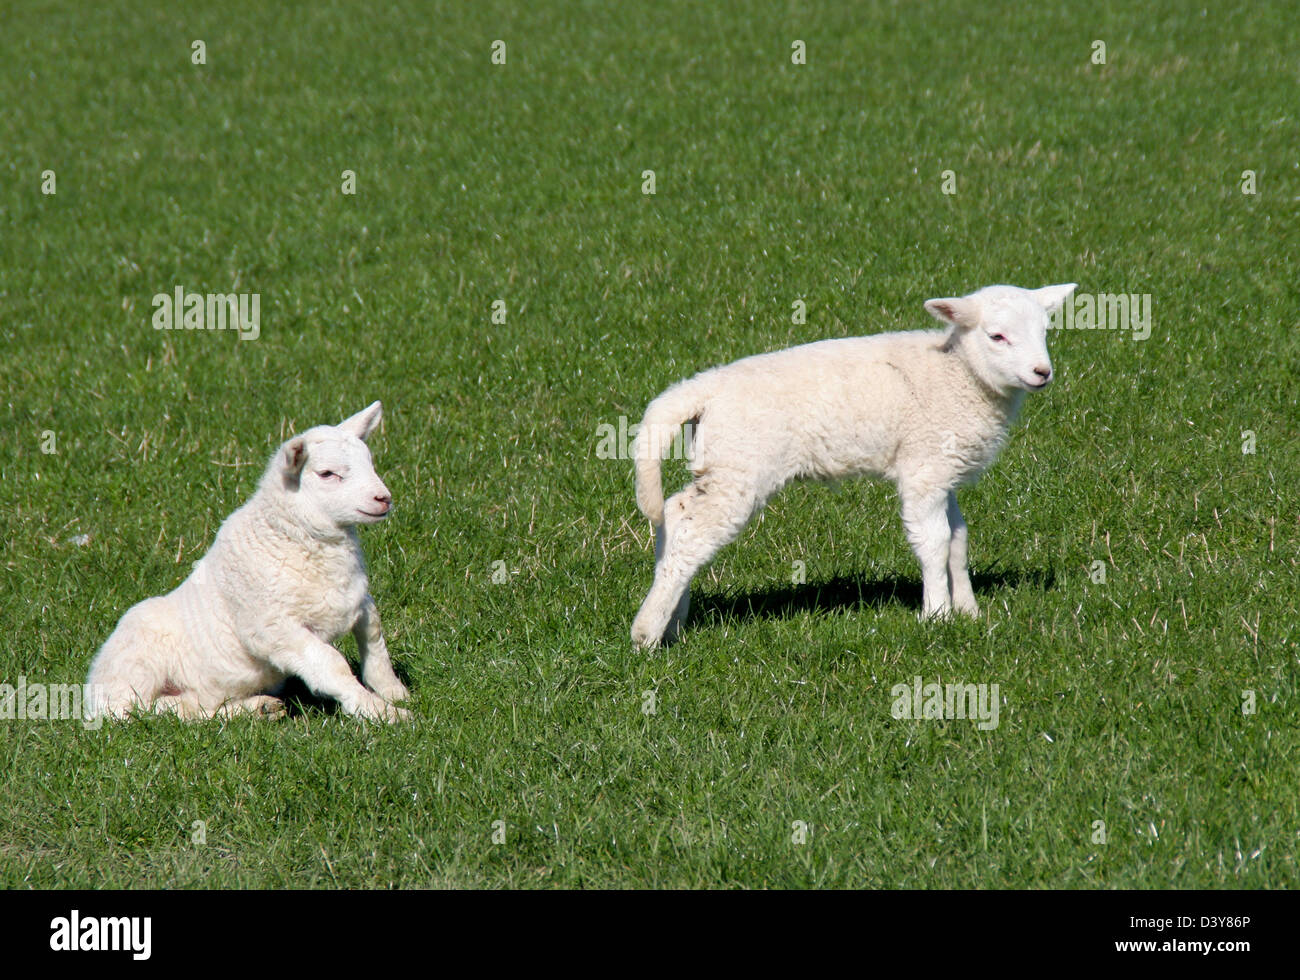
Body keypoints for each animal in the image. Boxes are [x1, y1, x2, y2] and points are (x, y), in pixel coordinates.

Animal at [86, 401, 411, 723]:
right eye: (327, 474)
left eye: (370, 463)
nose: (384, 498)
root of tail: (91, 694)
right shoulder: (271, 626)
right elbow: (331, 663)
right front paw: (380, 710)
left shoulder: (356, 599)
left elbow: (375, 637)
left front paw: (393, 691)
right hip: (133, 662)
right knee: (142, 711)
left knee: (197, 708)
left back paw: (259, 708)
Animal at [630, 283, 1077, 649]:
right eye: (997, 336)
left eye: (1044, 332)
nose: (1042, 373)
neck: (958, 375)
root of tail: (703, 388)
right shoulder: (923, 468)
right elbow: (934, 542)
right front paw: (937, 615)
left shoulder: (942, 468)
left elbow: (958, 539)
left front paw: (968, 610)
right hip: (739, 467)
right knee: (692, 535)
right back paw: (647, 633)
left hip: (719, 463)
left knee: (675, 514)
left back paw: (674, 622)